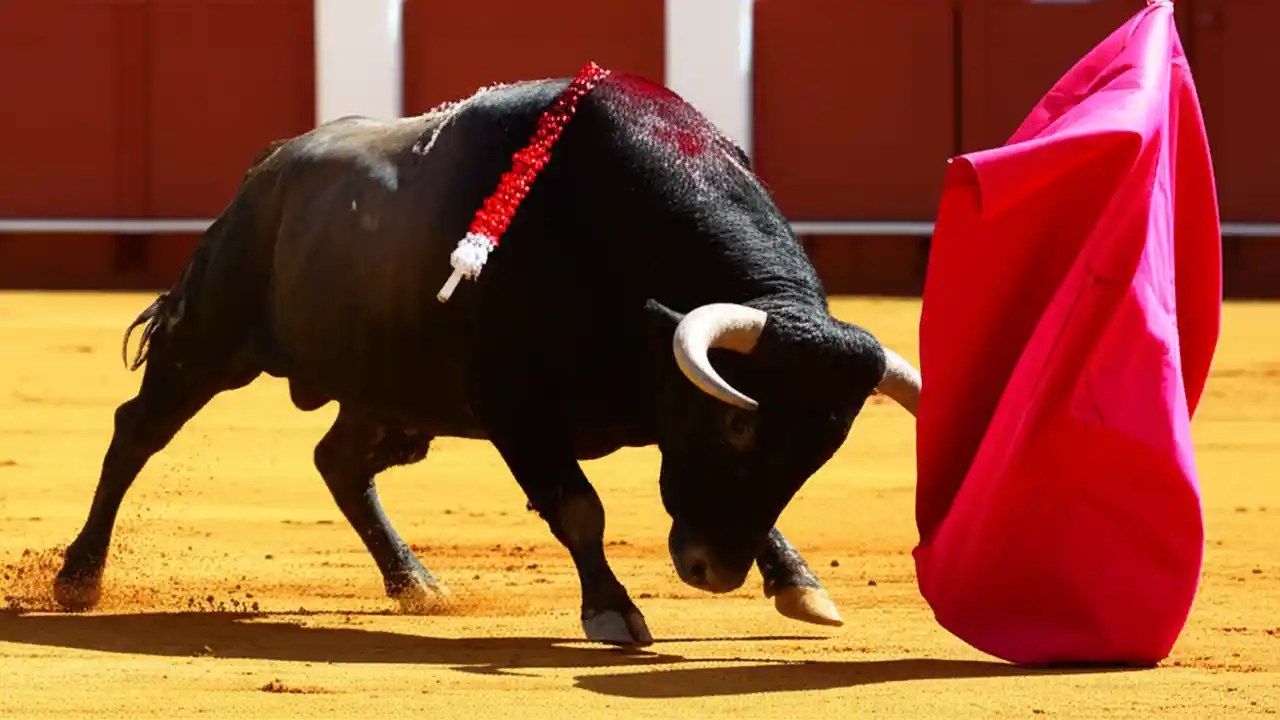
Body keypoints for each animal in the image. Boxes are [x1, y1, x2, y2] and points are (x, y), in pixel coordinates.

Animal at [52, 70, 921, 646]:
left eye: (819, 451)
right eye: (739, 429)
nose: (712, 570)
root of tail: (268, 166)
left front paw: (800, 586)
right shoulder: (516, 408)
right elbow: (579, 508)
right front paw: (614, 611)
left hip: (395, 396)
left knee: (340, 461)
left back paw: (415, 583)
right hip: (211, 338)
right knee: (138, 431)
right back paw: (78, 577)